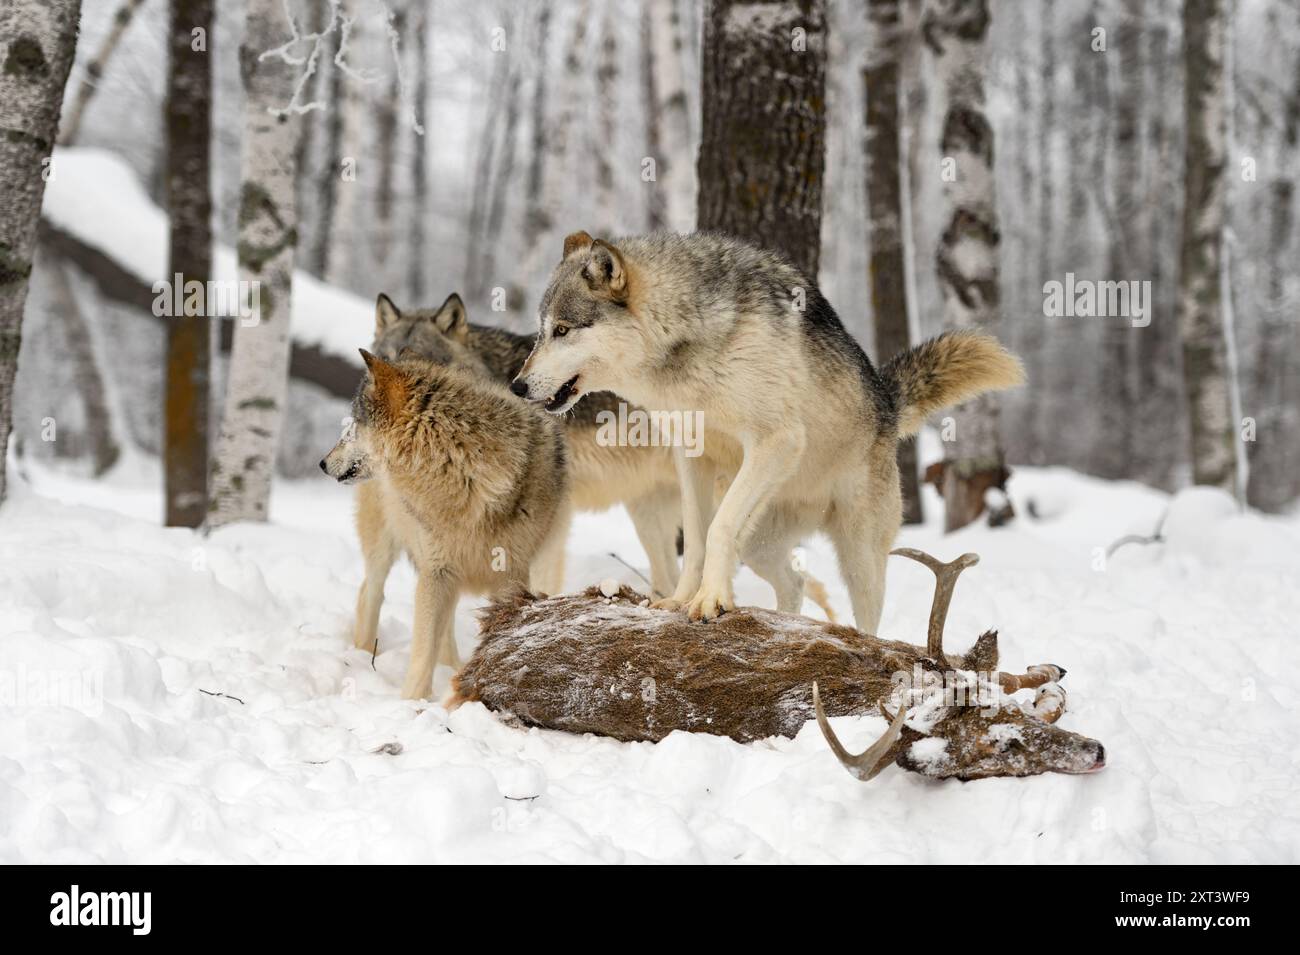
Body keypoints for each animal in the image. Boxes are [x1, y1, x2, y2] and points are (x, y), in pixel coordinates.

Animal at [321, 350, 570, 699]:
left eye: (354, 424)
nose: (323, 463)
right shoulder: (436, 571)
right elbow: (422, 651)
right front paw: (412, 702)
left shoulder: (509, 576)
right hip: (387, 551)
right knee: (370, 593)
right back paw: (362, 656)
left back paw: (450, 668)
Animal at [511, 231, 1025, 632]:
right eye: (540, 331)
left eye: (563, 330)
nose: (517, 386)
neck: (688, 338)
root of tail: (886, 400)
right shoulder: (690, 456)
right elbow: (696, 539)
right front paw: (680, 600)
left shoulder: (776, 441)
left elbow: (717, 529)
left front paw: (709, 602)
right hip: (760, 543)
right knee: (793, 581)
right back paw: (787, 624)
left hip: (859, 556)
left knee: (867, 620)